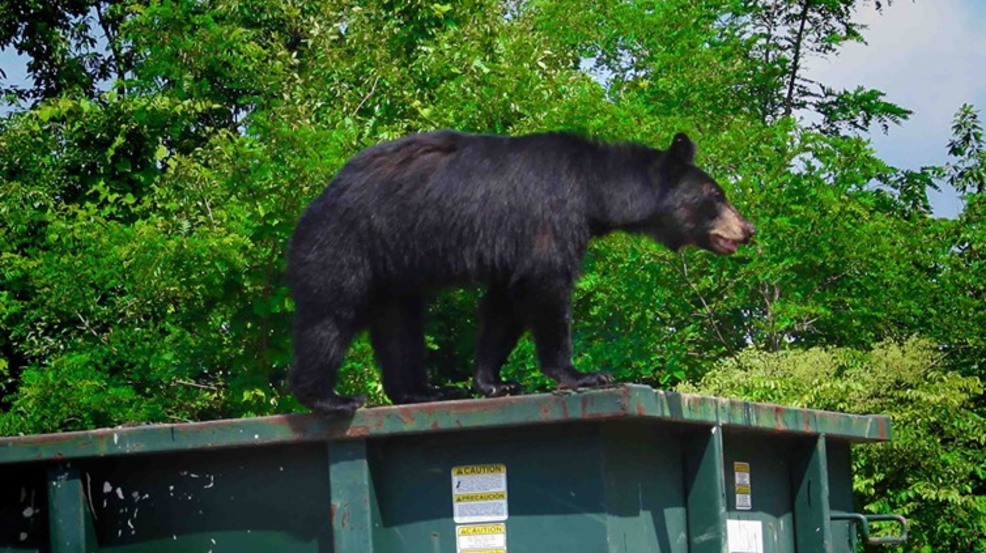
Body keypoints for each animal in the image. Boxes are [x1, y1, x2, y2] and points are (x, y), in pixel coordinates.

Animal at [286, 130, 755, 417]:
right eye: (717, 196)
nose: (748, 229)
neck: (593, 189)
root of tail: (317, 202)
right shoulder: (548, 217)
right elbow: (547, 288)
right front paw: (581, 373)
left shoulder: (510, 248)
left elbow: (504, 305)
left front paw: (492, 381)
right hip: (346, 243)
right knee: (329, 315)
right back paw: (329, 397)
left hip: (395, 268)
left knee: (401, 324)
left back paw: (424, 390)